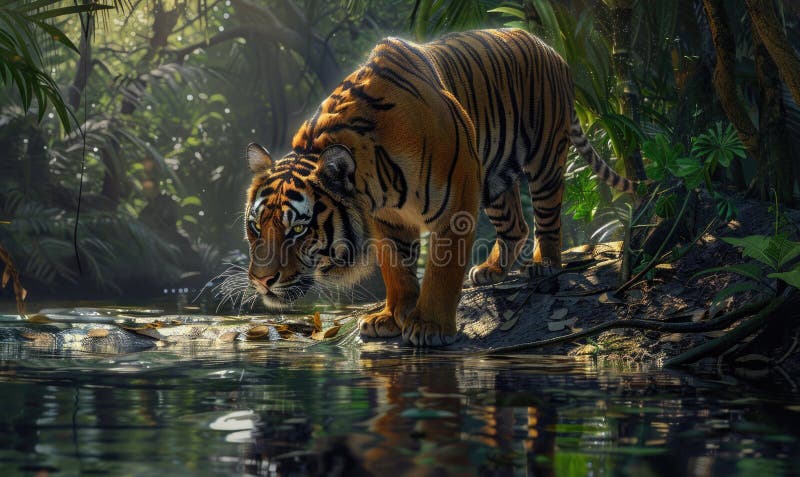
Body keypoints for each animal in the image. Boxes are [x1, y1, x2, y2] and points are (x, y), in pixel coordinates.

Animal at [243, 28, 636, 347]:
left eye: (297, 229)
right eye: (255, 227)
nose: (262, 281)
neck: (376, 180)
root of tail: (551, 49)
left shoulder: (457, 200)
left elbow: (442, 270)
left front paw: (429, 326)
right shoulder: (388, 219)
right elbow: (397, 269)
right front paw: (391, 317)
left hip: (545, 158)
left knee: (548, 215)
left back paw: (546, 264)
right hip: (494, 178)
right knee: (516, 226)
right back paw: (491, 270)